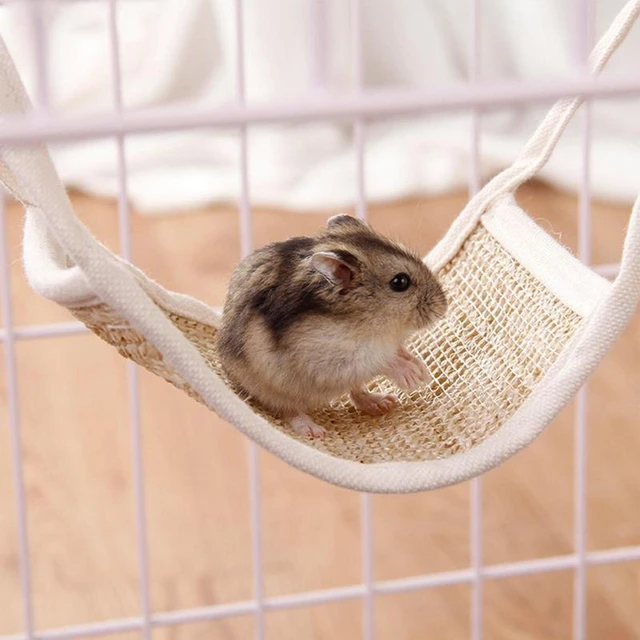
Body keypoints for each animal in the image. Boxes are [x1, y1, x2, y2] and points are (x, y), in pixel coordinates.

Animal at [217, 213, 448, 438]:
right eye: (400, 282)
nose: (443, 308)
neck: (373, 327)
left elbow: (396, 351)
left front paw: (420, 367)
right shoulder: (330, 358)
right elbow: (380, 360)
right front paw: (414, 376)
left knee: (357, 392)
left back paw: (382, 403)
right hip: (274, 387)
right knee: (288, 409)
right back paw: (313, 430)